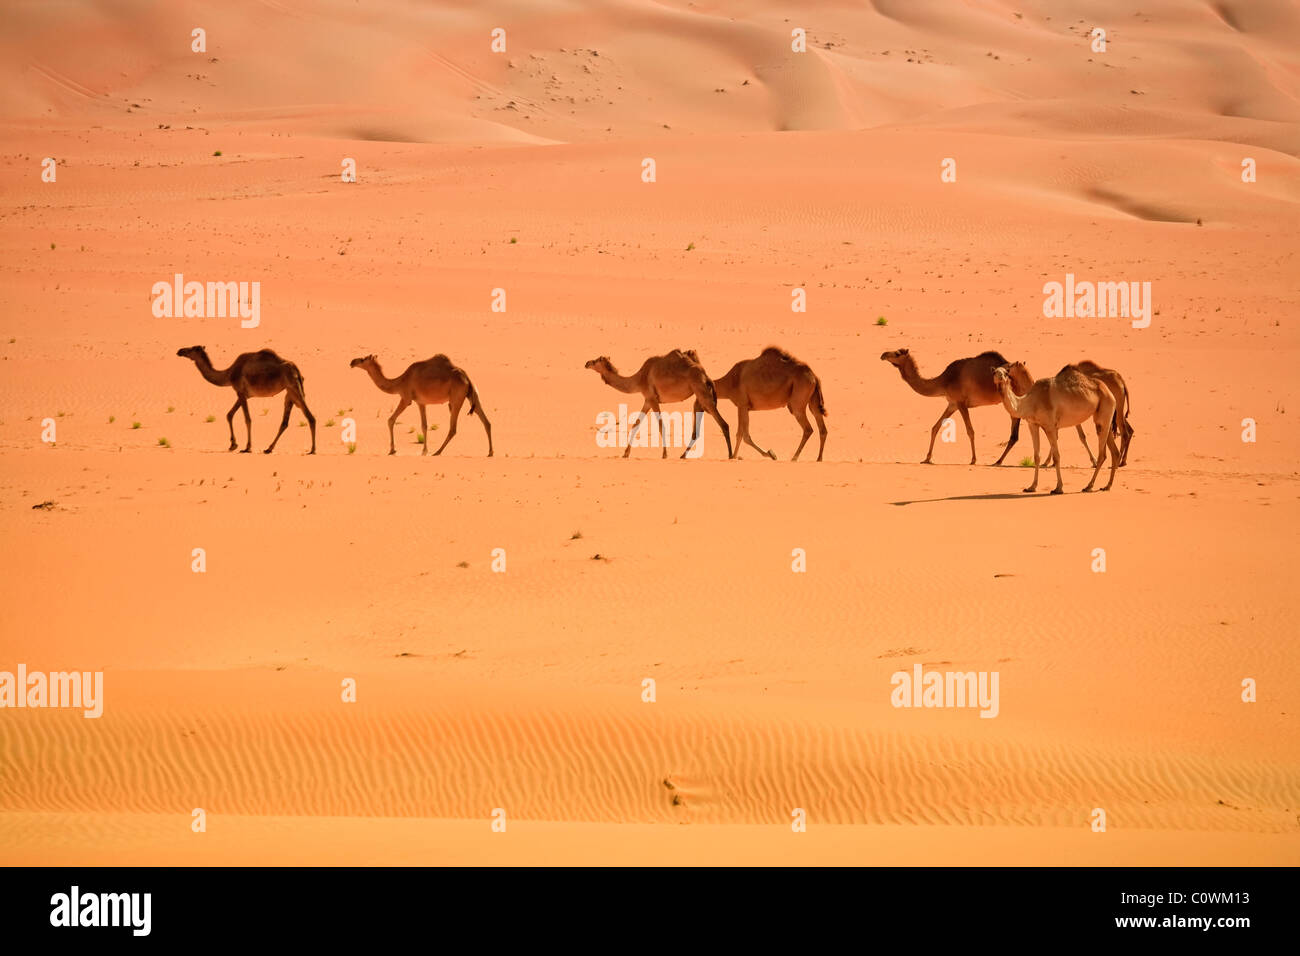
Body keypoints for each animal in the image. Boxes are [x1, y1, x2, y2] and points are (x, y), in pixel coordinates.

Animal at [176, 346, 316, 454]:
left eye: (192, 348)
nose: (180, 351)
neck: (228, 374)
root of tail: (297, 370)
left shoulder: (240, 392)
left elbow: (247, 419)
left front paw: (247, 447)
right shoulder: (243, 394)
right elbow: (229, 414)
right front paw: (233, 445)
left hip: (294, 388)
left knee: (310, 417)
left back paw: (312, 450)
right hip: (289, 392)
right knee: (285, 422)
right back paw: (269, 449)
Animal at [349, 354, 493, 456]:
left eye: (363, 359)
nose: (352, 362)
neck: (400, 382)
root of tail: (467, 377)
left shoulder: (406, 398)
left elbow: (390, 420)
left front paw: (392, 450)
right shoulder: (421, 402)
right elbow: (424, 425)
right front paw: (424, 451)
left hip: (456, 399)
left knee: (453, 428)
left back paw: (438, 451)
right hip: (472, 395)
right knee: (486, 421)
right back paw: (490, 452)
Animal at [584, 350, 732, 459]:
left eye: (596, 360)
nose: (587, 363)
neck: (639, 379)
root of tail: (706, 376)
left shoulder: (652, 399)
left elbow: (661, 426)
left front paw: (665, 454)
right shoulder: (647, 400)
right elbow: (636, 424)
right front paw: (625, 453)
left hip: (702, 392)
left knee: (723, 424)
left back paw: (731, 455)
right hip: (699, 398)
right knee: (697, 430)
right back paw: (683, 455)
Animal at [880, 349, 1034, 464]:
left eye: (897, 353)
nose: (883, 354)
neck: (944, 381)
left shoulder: (960, 403)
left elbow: (970, 431)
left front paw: (973, 459)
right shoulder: (952, 404)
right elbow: (935, 427)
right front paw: (927, 458)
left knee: (1016, 434)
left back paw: (999, 461)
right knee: (1016, 435)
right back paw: (999, 461)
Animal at [991, 363, 1119, 494]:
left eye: (1006, 373)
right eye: (994, 372)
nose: (1000, 376)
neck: (1029, 402)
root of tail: (1109, 392)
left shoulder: (1050, 426)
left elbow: (1056, 456)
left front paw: (1058, 488)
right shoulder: (1032, 424)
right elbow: (1036, 456)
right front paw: (1032, 487)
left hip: (1104, 410)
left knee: (1102, 454)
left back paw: (1089, 486)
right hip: (1105, 419)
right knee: (1114, 452)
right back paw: (1107, 486)